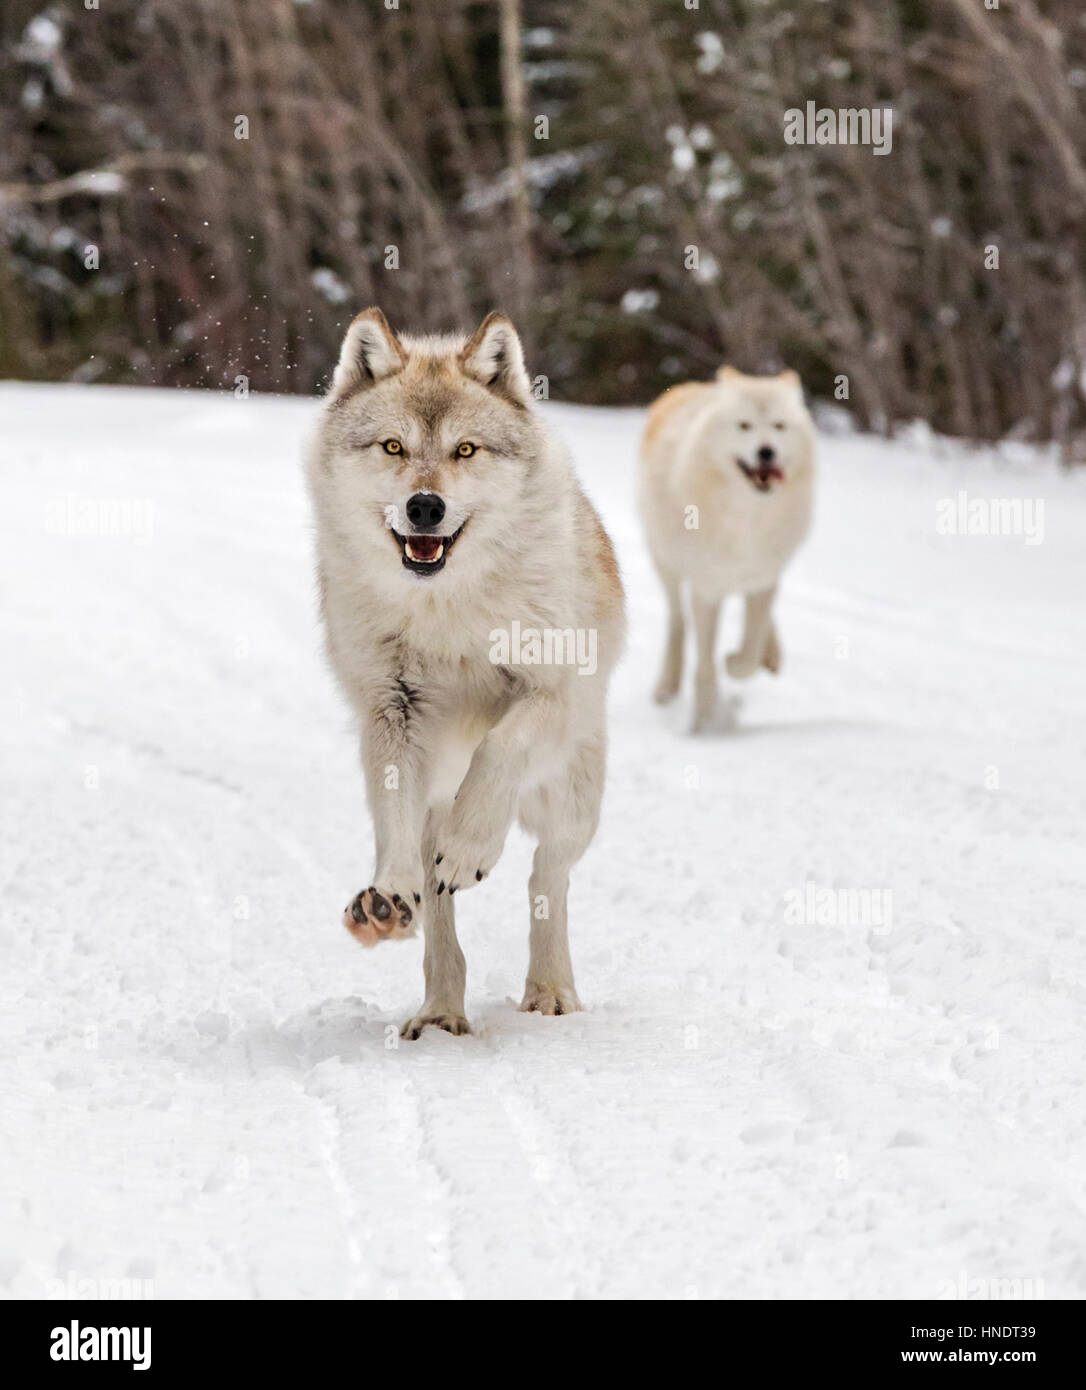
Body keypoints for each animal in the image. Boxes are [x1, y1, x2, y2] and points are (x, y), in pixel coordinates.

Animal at [307, 309, 625, 1037]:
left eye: (466, 451)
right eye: (394, 447)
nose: (425, 507)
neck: (446, 605)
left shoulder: (549, 692)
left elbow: (500, 747)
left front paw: (472, 844)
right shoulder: (391, 709)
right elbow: (396, 831)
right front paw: (387, 895)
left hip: (574, 800)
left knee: (546, 878)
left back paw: (550, 992)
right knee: (438, 905)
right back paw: (438, 1009)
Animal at [639, 367, 815, 731]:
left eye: (779, 426)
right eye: (744, 426)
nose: (766, 451)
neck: (746, 522)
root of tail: (686, 388)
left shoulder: (764, 580)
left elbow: (750, 650)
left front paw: (737, 662)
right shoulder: (706, 589)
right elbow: (706, 664)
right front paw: (704, 723)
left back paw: (772, 656)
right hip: (667, 566)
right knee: (677, 622)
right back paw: (667, 686)